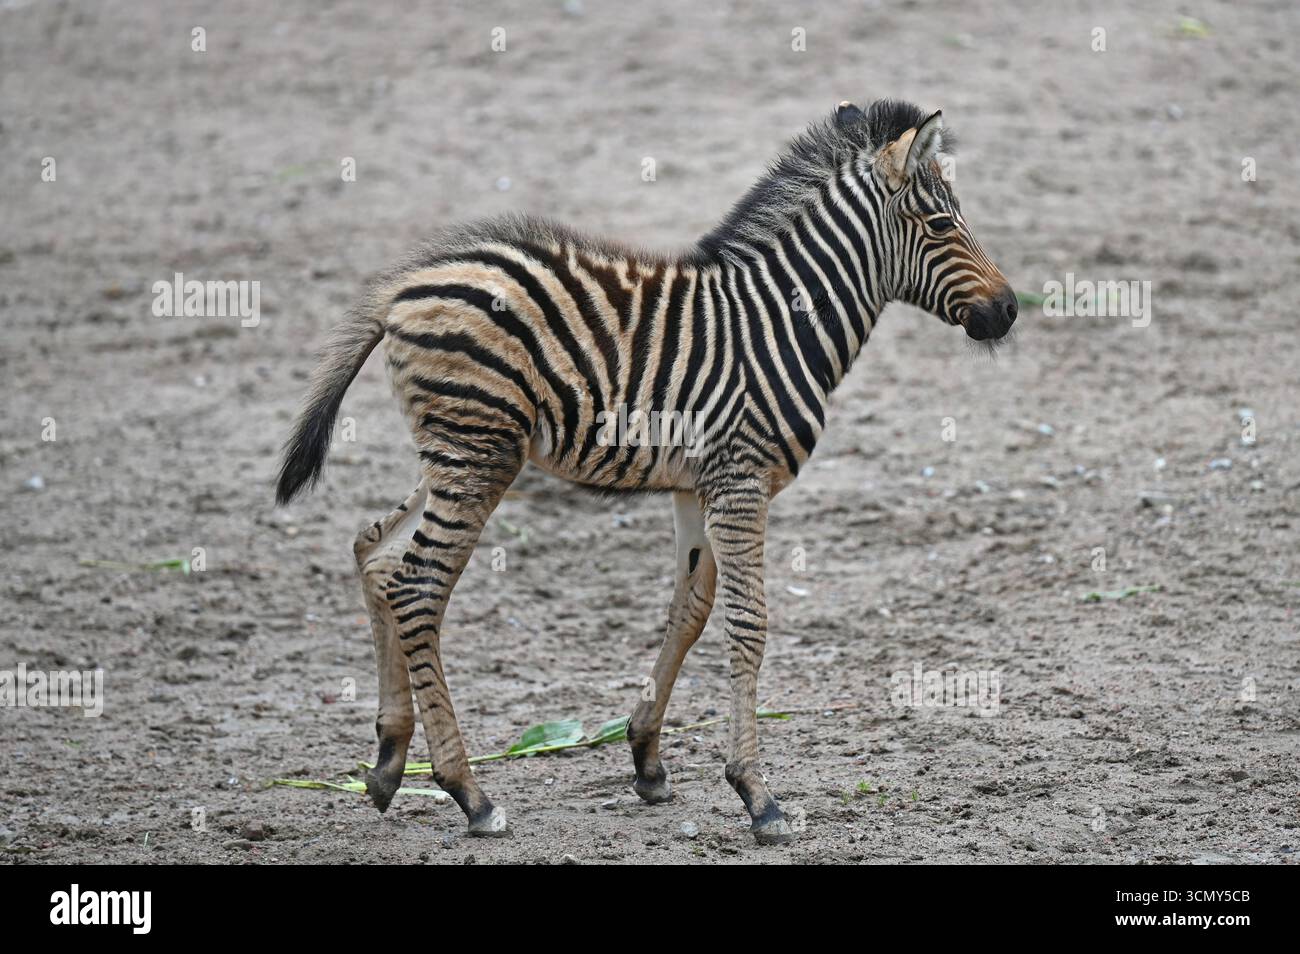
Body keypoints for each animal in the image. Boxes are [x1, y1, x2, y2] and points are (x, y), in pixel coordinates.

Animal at [276, 98, 1017, 845]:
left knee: (376, 555)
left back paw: (387, 765)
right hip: (479, 452)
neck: (780, 323)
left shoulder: (699, 486)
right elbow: (748, 623)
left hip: (456, 451)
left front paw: (647, 758)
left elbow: (689, 612)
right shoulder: (741, 481)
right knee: (418, 588)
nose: (1011, 310)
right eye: (943, 225)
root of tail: (400, 290)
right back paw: (468, 793)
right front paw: (758, 797)